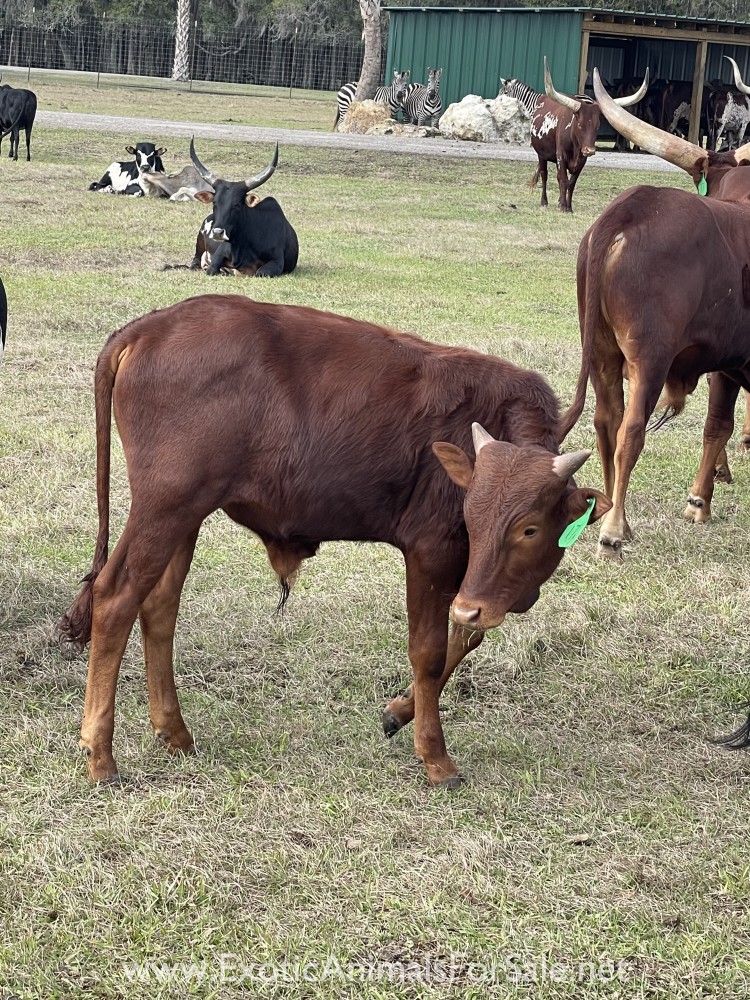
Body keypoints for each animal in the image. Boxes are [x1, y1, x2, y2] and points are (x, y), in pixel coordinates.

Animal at [58, 294, 610, 788]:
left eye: (527, 528)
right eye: (473, 517)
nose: (476, 605)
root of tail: (150, 326)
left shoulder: (475, 582)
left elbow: (465, 637)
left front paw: (399, 711)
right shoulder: (431, 554)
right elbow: (430, 651)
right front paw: (435, 757)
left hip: (185, 516)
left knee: (158, 608)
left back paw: (174, 732)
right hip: (163, 509)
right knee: (116, 600)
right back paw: (100, 754)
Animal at [187, 139, 298, 277]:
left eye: (237, 204)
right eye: (214, 203)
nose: (218, 233)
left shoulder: (276, 261)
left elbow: (260, 272)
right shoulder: (219, 254)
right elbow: (212, 269)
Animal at [499, 58, 648, 213]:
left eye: (597, 126)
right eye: (580, 125)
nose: (590, 150)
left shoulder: (582, 159)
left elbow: (571, 182)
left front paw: (567, 206)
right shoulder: (560, 156)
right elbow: (562, 179)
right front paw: (562, 205)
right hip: (544, 155)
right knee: (545, 174)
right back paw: (545, 201)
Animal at [560, 67, 750, 562]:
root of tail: (625, 212)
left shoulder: (726, 363)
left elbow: (716, 426)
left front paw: (701, 500)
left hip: (602, 351)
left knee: (606, 420)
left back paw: (615, 516)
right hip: (650, 356)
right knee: (630, 432)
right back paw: (612, 531)